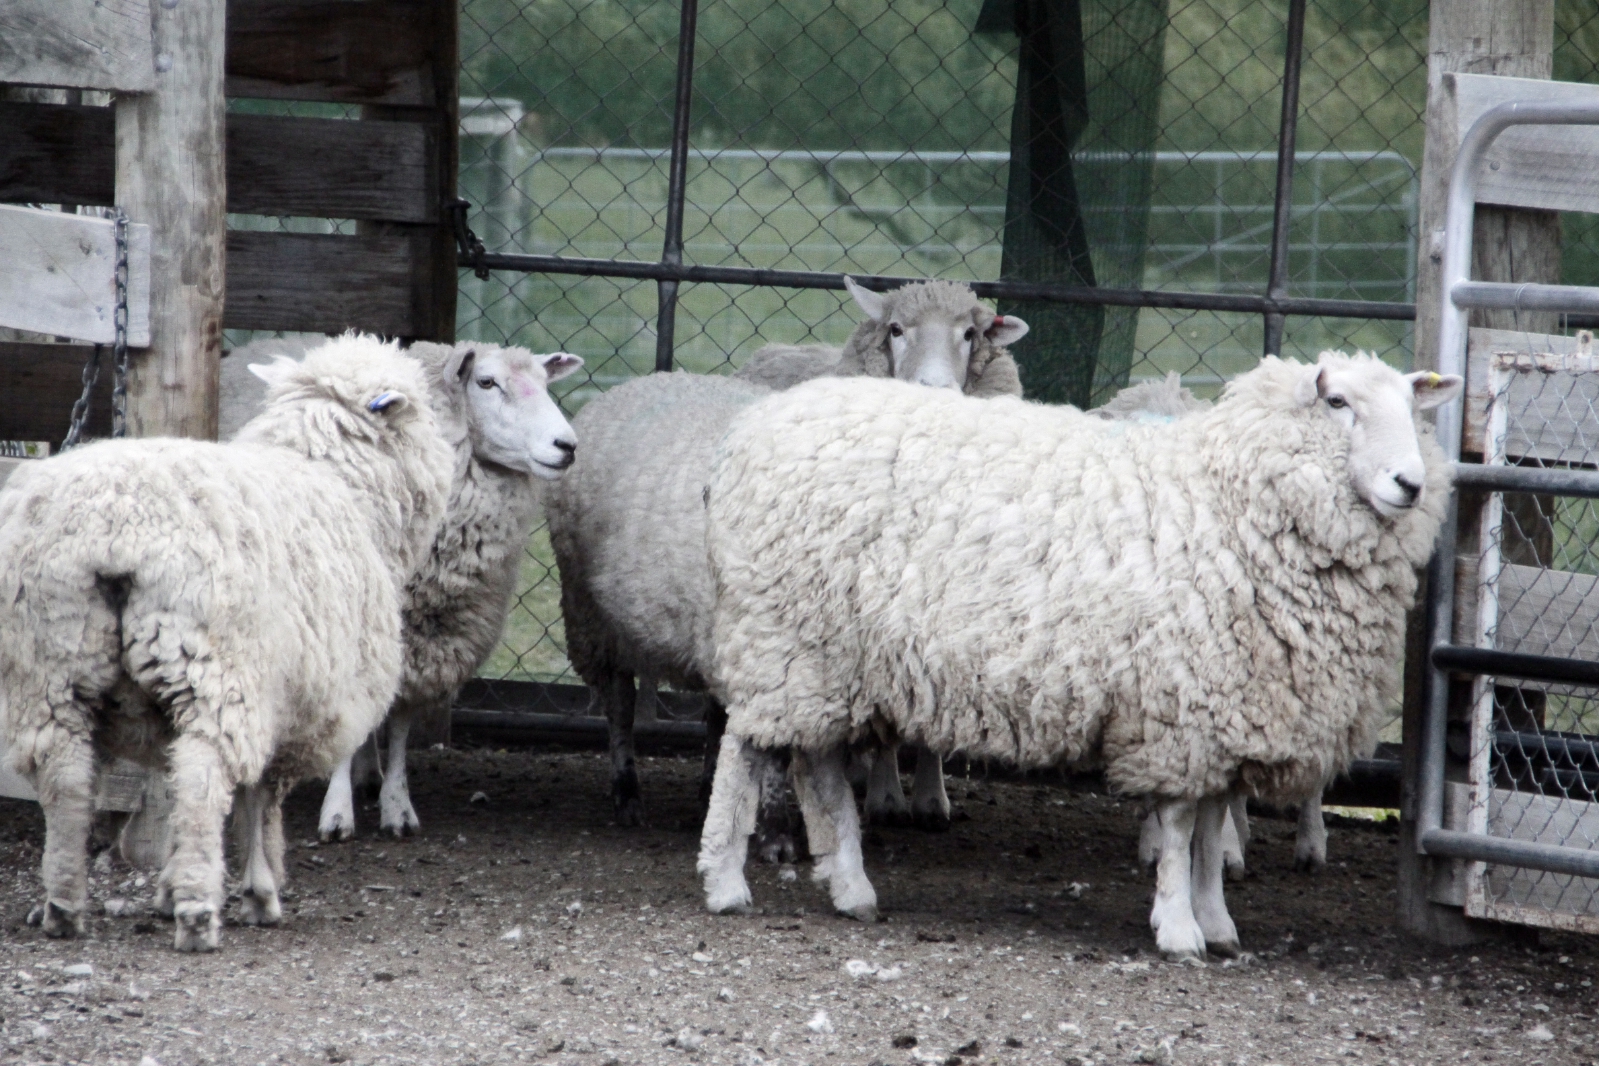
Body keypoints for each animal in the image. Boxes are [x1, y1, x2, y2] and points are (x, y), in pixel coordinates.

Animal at [0, 334, 454, 951]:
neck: (337, 483)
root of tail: (112, 530)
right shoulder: (289, 701)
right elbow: (260, 798)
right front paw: (257, 889)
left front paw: (168, 888)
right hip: (211, 670)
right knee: (202, 780)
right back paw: (196, 913)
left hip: (53, 663)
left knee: (65, 777)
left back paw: (64, 903)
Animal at [548, 276, 1028, 830]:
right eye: (895, 330)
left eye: (971, 333)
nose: (934, 391)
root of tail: (649, 380)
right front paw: (879, 799)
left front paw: (928, 799)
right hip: (592, 613)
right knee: (622, 703)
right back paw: (628, 792)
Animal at [696, 352, 1460, 958]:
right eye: (1337, 403)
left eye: (1410, 407)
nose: (1410, 484)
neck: (1232, 495)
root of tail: (750, 431)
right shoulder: (1178, 707)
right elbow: (1180, 827)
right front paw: (1178, 929)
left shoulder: (1228, 708)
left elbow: (1214, 827)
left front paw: (1217, 923)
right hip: (780, 637)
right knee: (743, 752)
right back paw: (726, 882)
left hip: (826, 658)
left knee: (817, 765)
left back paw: (850, 887)